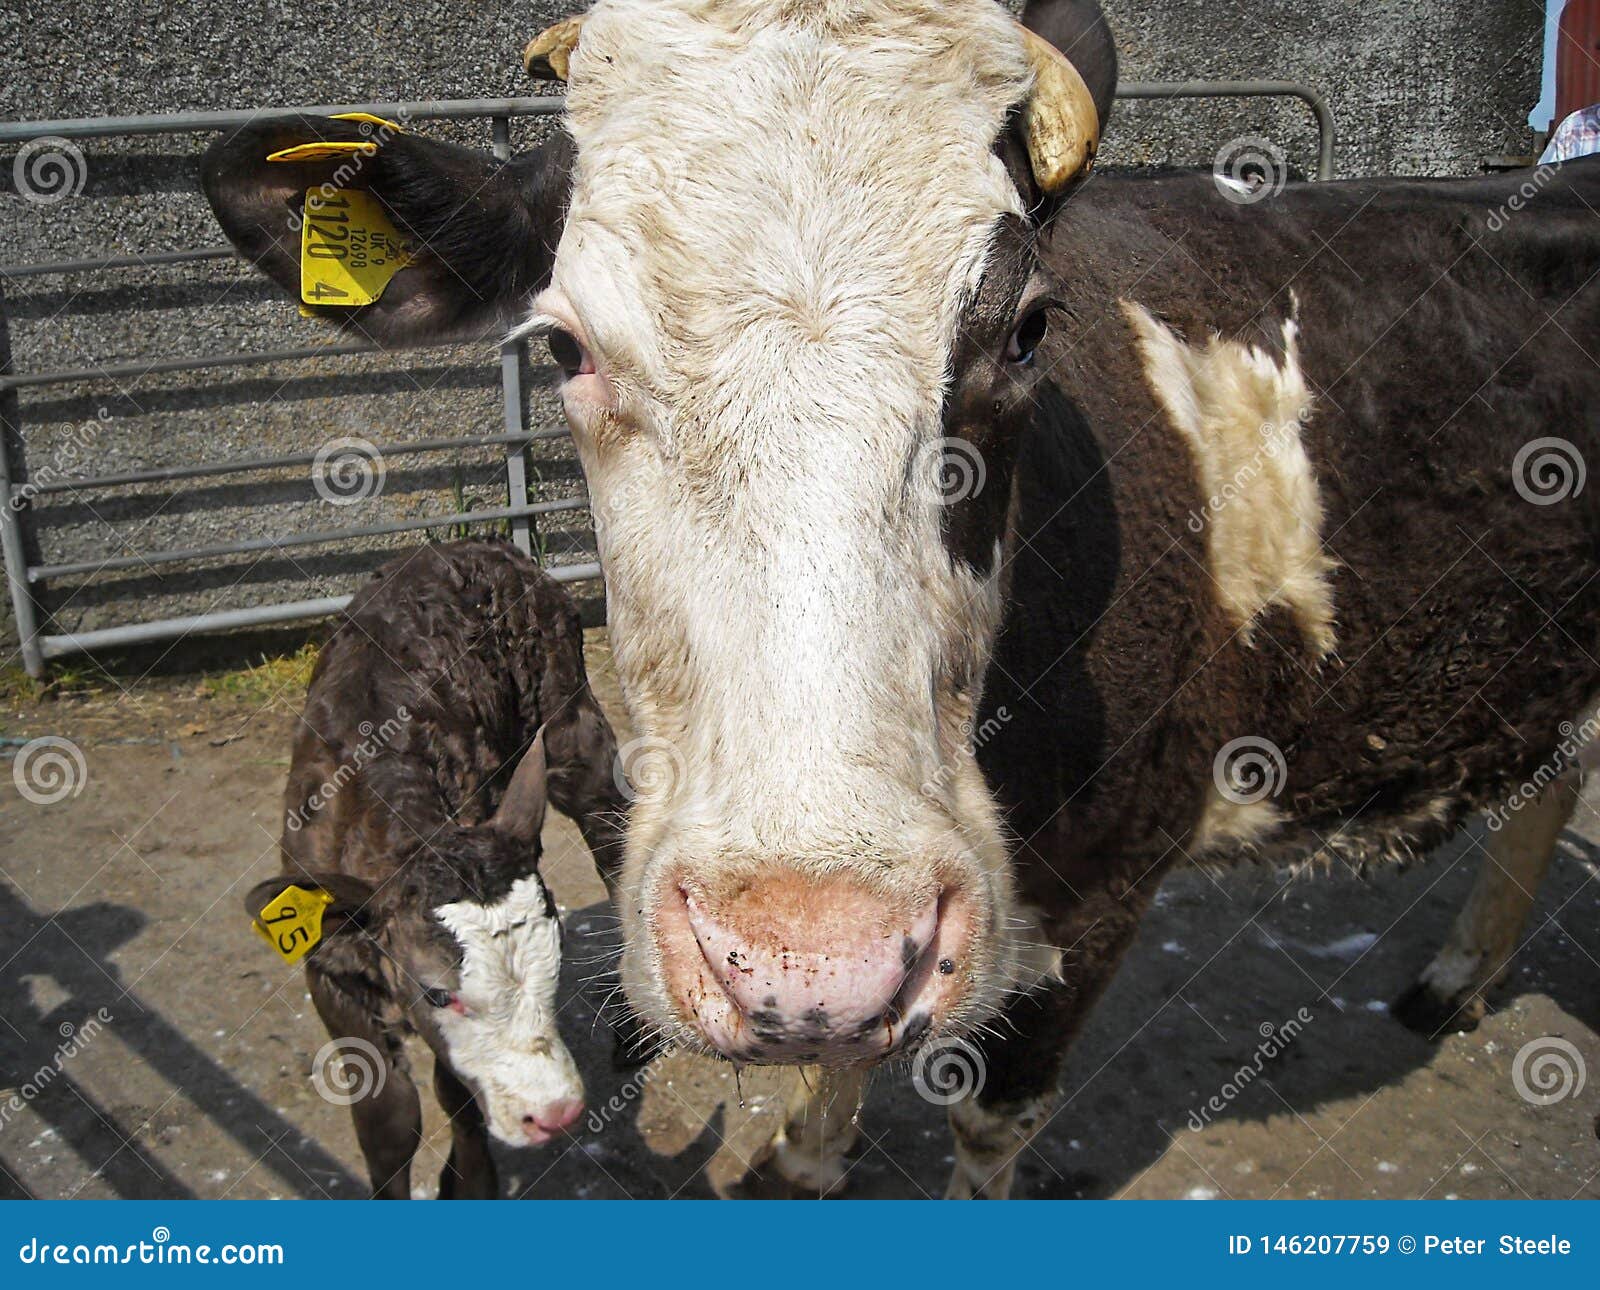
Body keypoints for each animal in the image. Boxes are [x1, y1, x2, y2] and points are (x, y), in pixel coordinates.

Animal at [246, 541, 629, 1197]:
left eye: (555, 959)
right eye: (437, 992)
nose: (555, 1112)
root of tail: (480, 546)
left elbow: (456, 1098)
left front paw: (469, 1181)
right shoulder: (330, 966)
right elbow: (388, 1120)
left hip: (568, 711)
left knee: (609, 822)